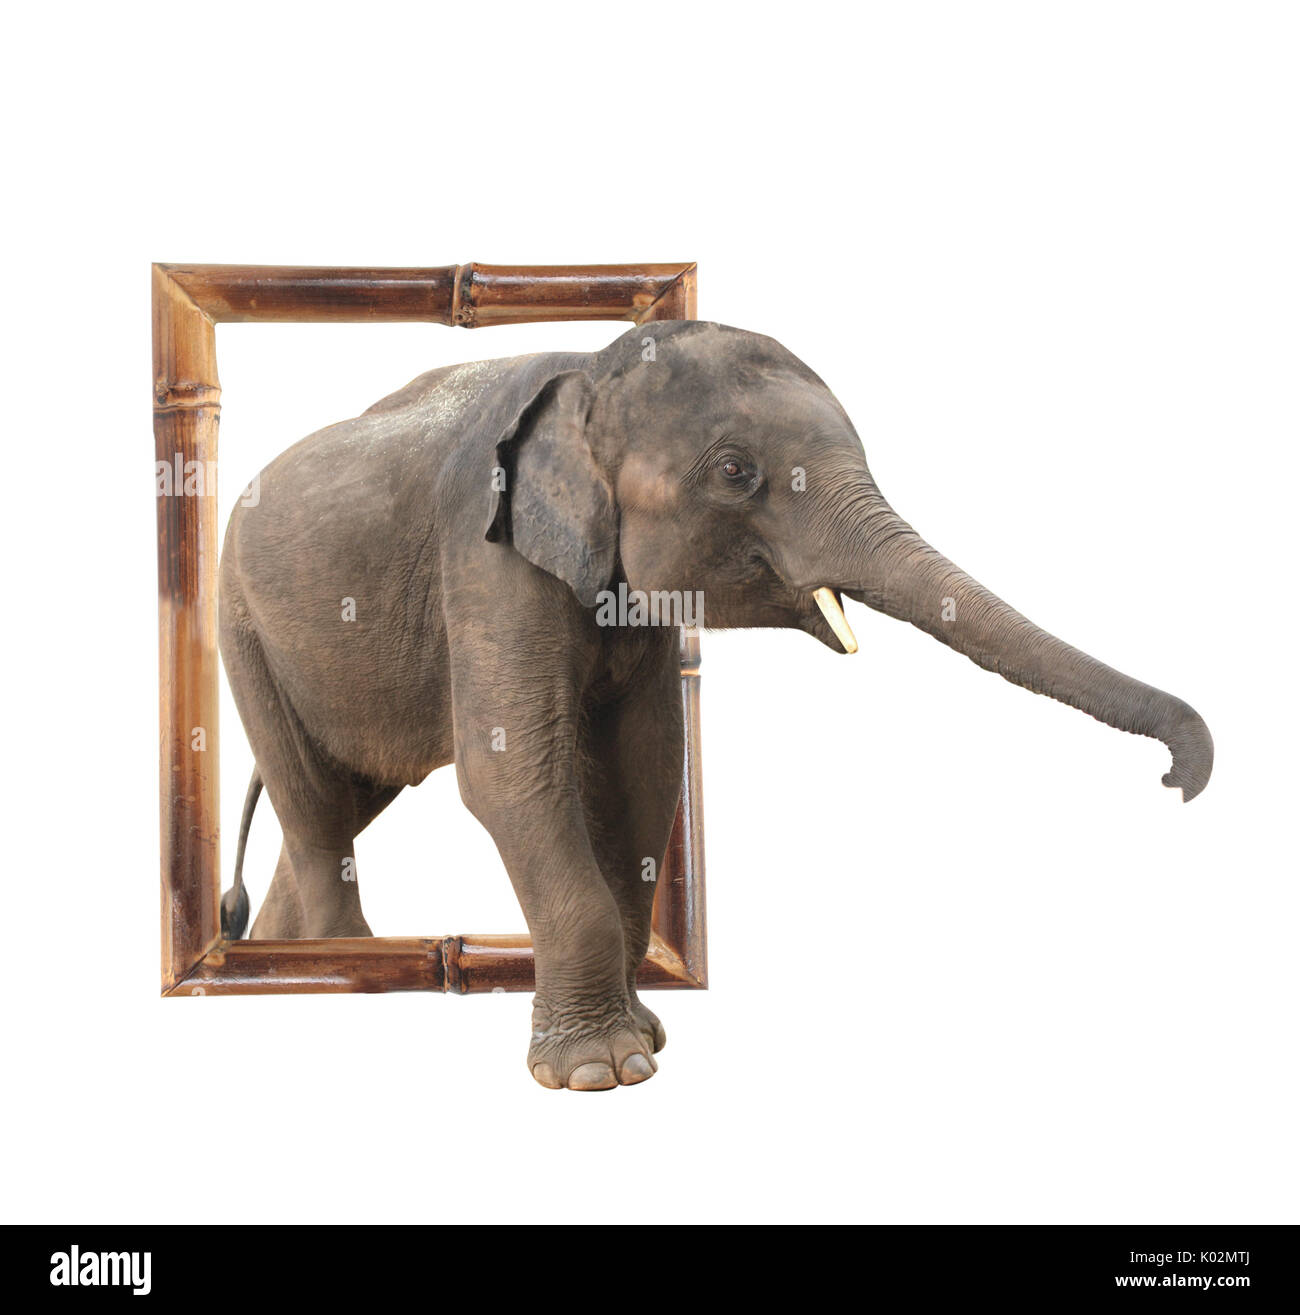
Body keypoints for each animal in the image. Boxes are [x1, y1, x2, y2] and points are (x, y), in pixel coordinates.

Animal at [218, 320, 1213, 1090]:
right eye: (736, 471)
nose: (1178, 778)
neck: (587, 373)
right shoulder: (486, 553)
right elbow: (512, 773)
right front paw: (600, 1071)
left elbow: (644, 767)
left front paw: (642, 1037)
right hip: (239, 622)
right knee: (316, 806)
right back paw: (335, 967)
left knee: (340, 802)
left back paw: (288, 963)